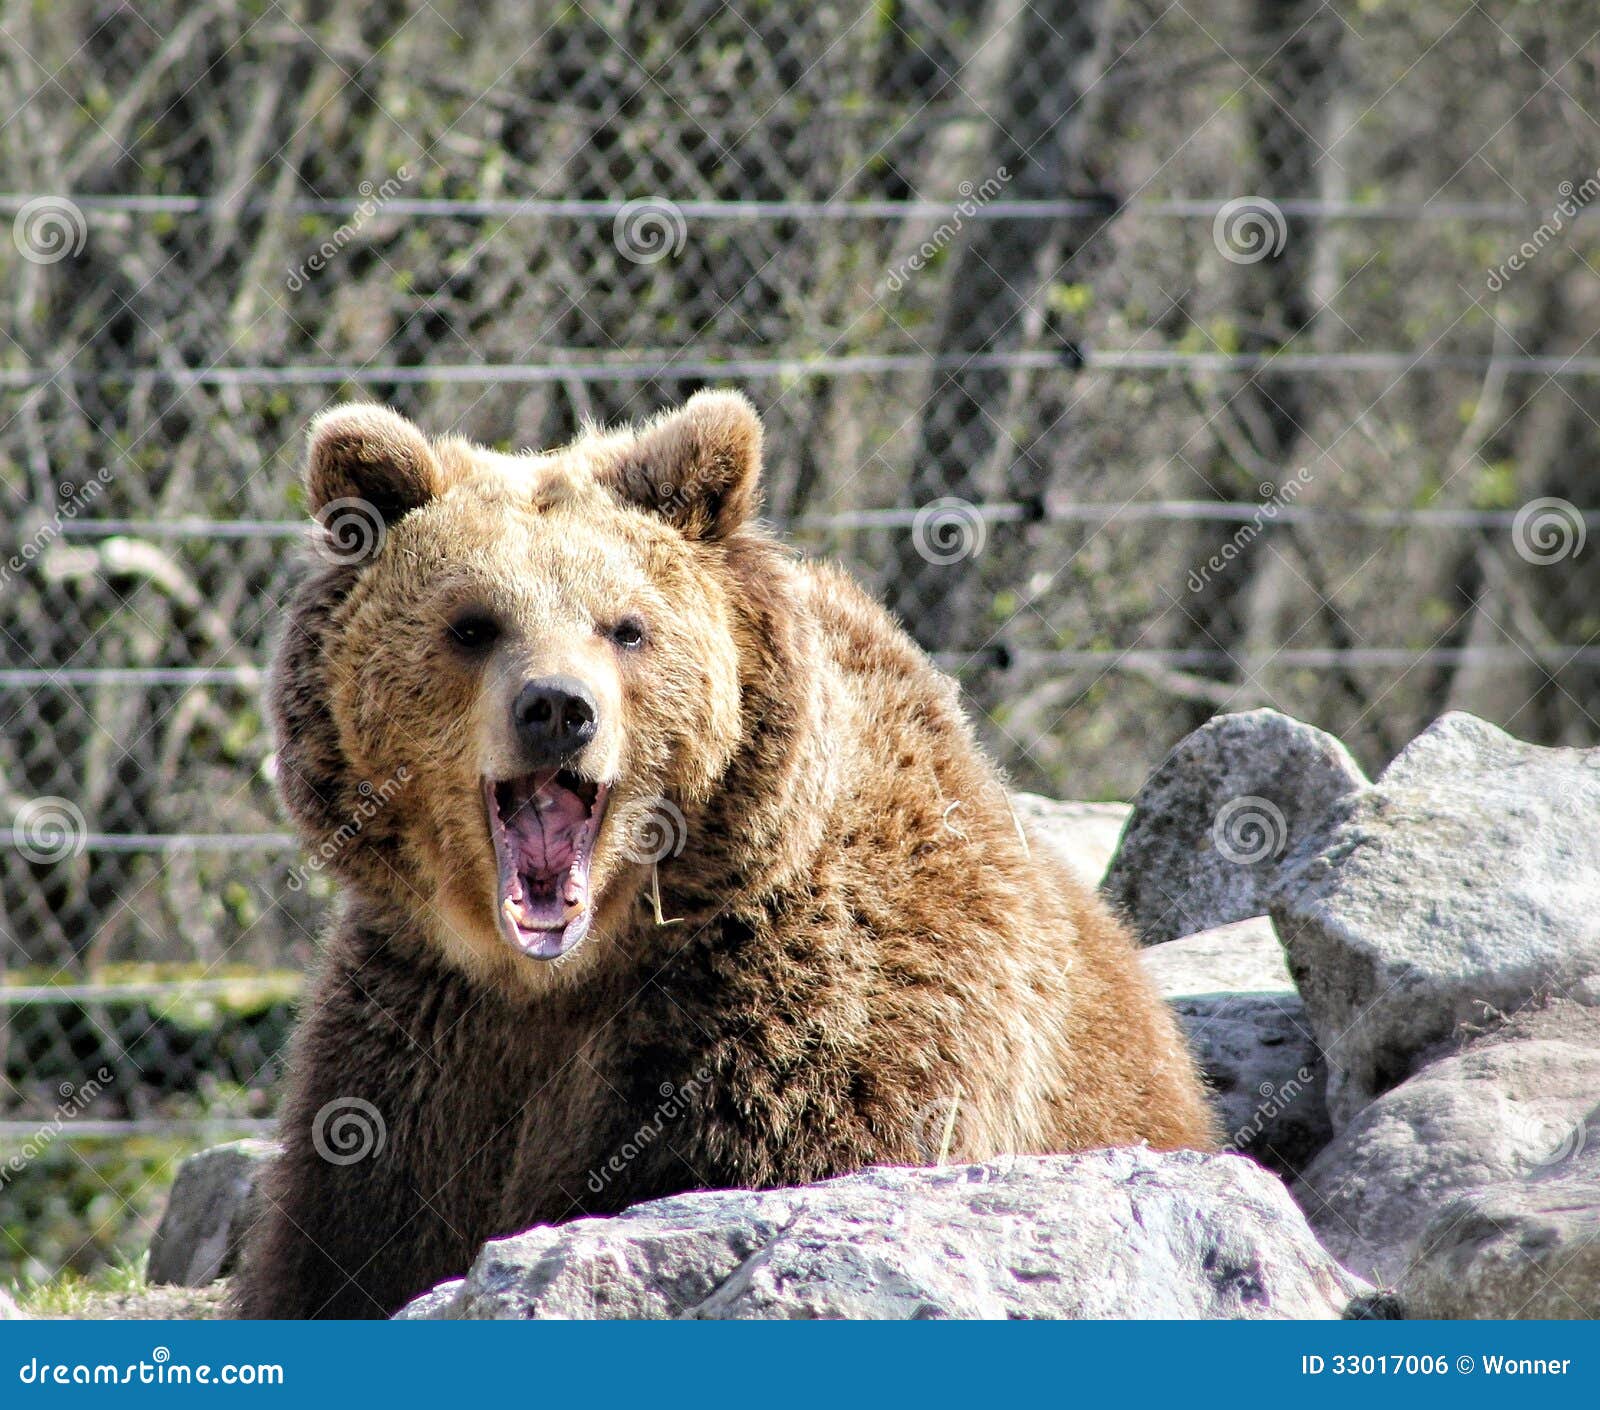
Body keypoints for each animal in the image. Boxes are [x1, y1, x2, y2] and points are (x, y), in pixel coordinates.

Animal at [233, 391, 1216, 1319]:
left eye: (626, 626)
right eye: (473, 623)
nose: (557, 707)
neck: (561, 978)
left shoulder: (801, 1030)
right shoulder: (415, 1046)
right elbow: (350, 1252)